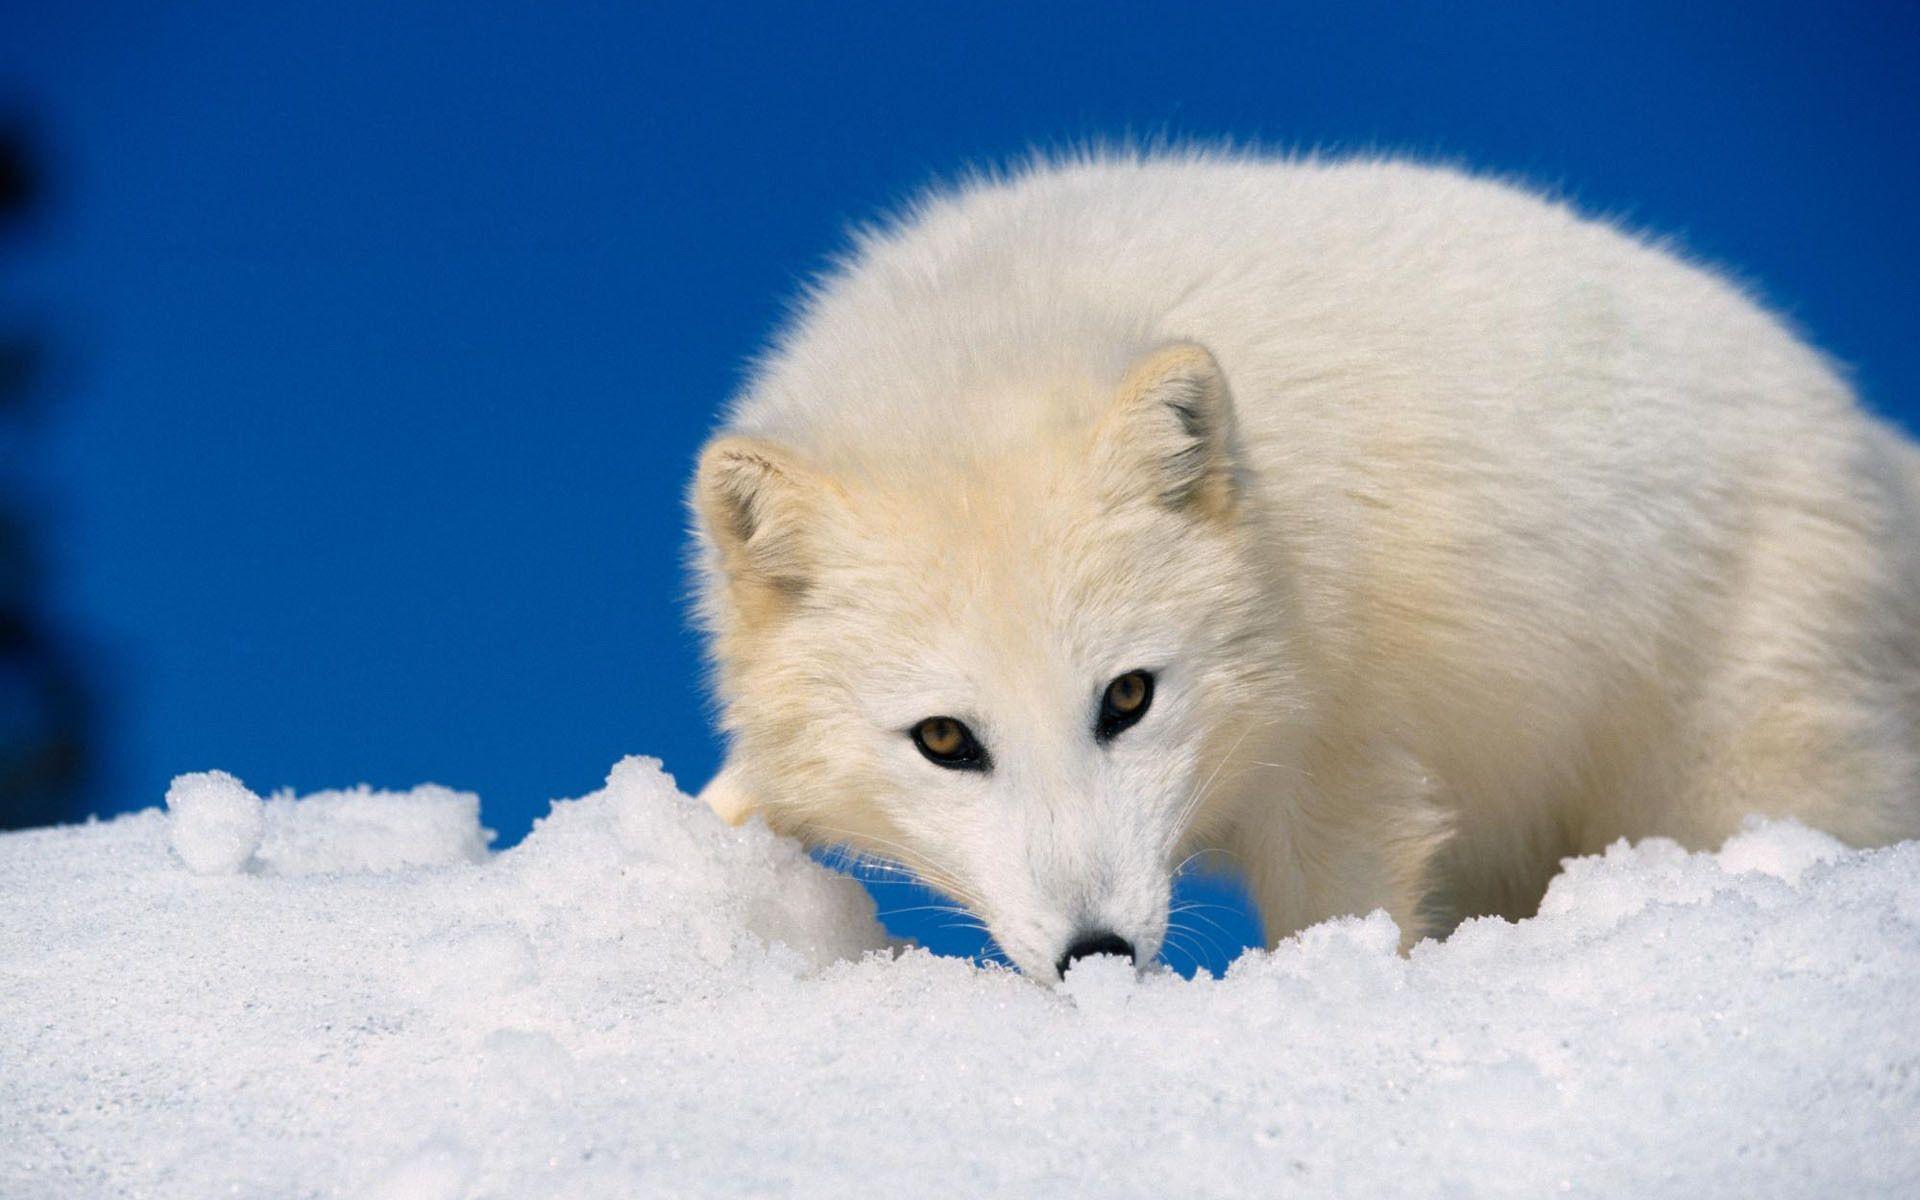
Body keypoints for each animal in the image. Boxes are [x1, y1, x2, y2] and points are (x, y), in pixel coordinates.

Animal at [688, 151, 1920, 982]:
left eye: (1128, 697)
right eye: (945, 740)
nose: (1097, 953)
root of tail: (1864, 435)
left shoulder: (1347, 765)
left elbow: (1346, 913)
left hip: (1739, 774)